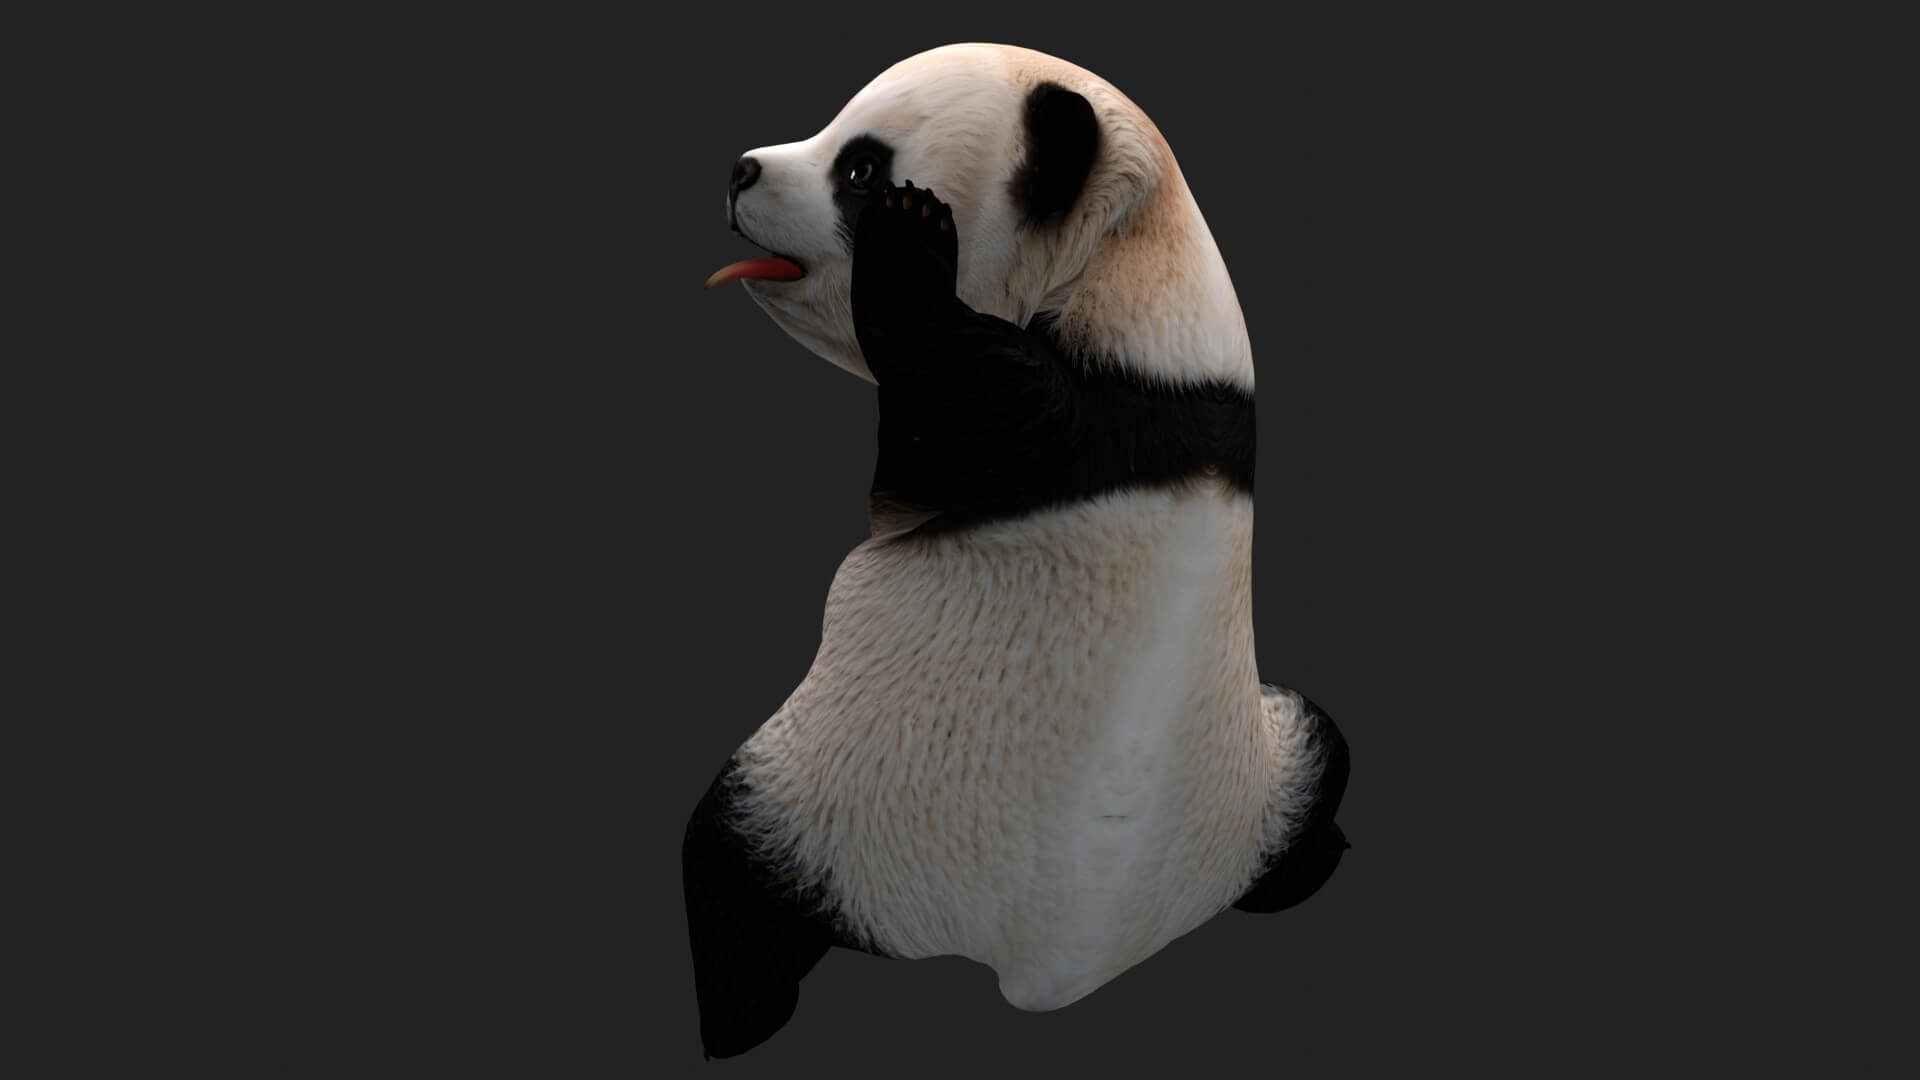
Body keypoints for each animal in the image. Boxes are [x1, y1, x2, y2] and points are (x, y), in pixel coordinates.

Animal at [687, 43, 1350, 1058]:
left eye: (859, 168)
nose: (742, 169)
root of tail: (1045, 967)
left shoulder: (1064, 425)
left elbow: (956, 411)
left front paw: (911, 241)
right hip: (1252, 779)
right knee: (1331, 754)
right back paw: (1313, 860)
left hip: (829, 794)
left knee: (726, 872)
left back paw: (739, 1020)